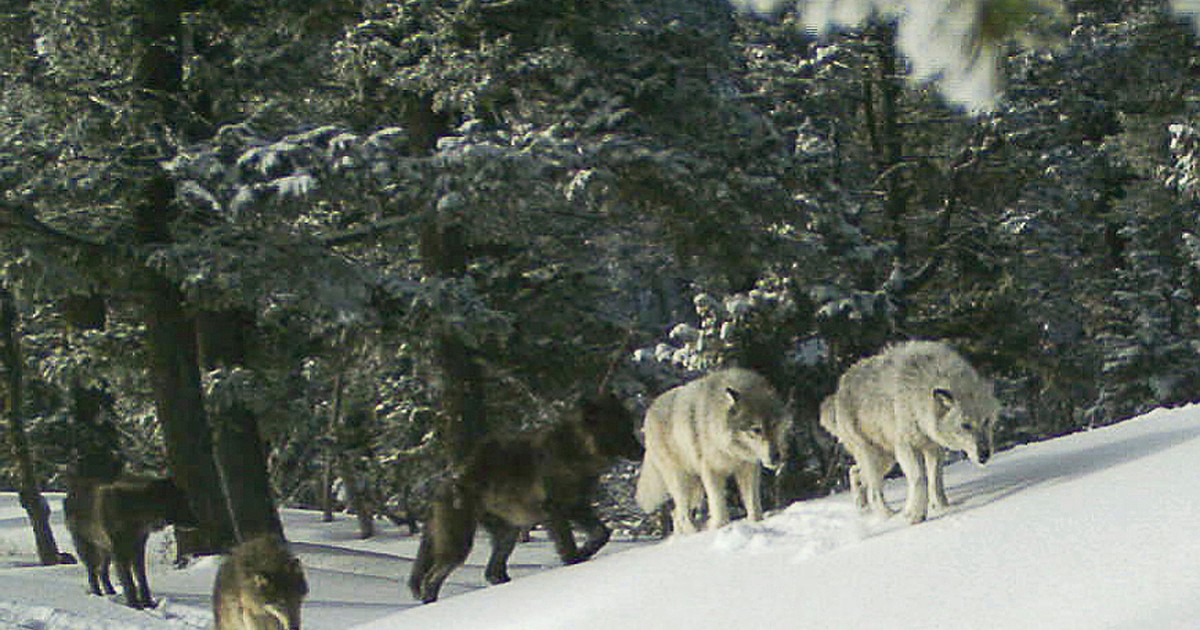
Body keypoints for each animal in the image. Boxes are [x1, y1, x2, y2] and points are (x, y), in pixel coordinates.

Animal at [63, 474, 198, 608]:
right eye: (180, 502)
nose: (197, 522)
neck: (135, 509)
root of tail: (69, 496)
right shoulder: (119, 551)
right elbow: (128, 580)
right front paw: (134, 604)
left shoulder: (138, 547)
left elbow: (141, 578)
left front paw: (148, 603)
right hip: (88, 547)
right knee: (92, 572)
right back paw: (97, 594)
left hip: (105, 551)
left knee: (102, 572)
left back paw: (111, 592)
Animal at [407, 391, 643, 604]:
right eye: (621, 429)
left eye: (630, 426)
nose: (643, 451)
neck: (576, 450)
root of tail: (441, 485)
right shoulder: (555, 510)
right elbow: (568, 545)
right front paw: (574, 561)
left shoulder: (577, 506)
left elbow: (602, 533)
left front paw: (585, 552)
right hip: (459, 544)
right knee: (431, 579)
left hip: (507, 534)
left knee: (492, 573)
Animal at [635, 368, 790, 534]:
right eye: (756, 429)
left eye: (774, 424)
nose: (776, 457)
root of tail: (649, 412)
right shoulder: (712, 472)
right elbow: (718, 506)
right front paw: (720, 527)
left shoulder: (748, 468)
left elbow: (753, 505)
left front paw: (756, 523)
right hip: (682, 482)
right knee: (681, 515)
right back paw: (695, 534)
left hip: (696, 489)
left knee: (676, 514)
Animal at [823, 340, 999, 524]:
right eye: (965, 425)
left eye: (986, 421)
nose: (984, 454)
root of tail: (838, 390)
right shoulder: (908, 447)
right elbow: (919, 479)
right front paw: (915, 515)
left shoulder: (933, 447)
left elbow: (935, 480)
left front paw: (942, 507)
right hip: (875, 457)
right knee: (874, 491)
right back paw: (889, 517)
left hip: (886, 459)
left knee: (855, 472)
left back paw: (863, 508)